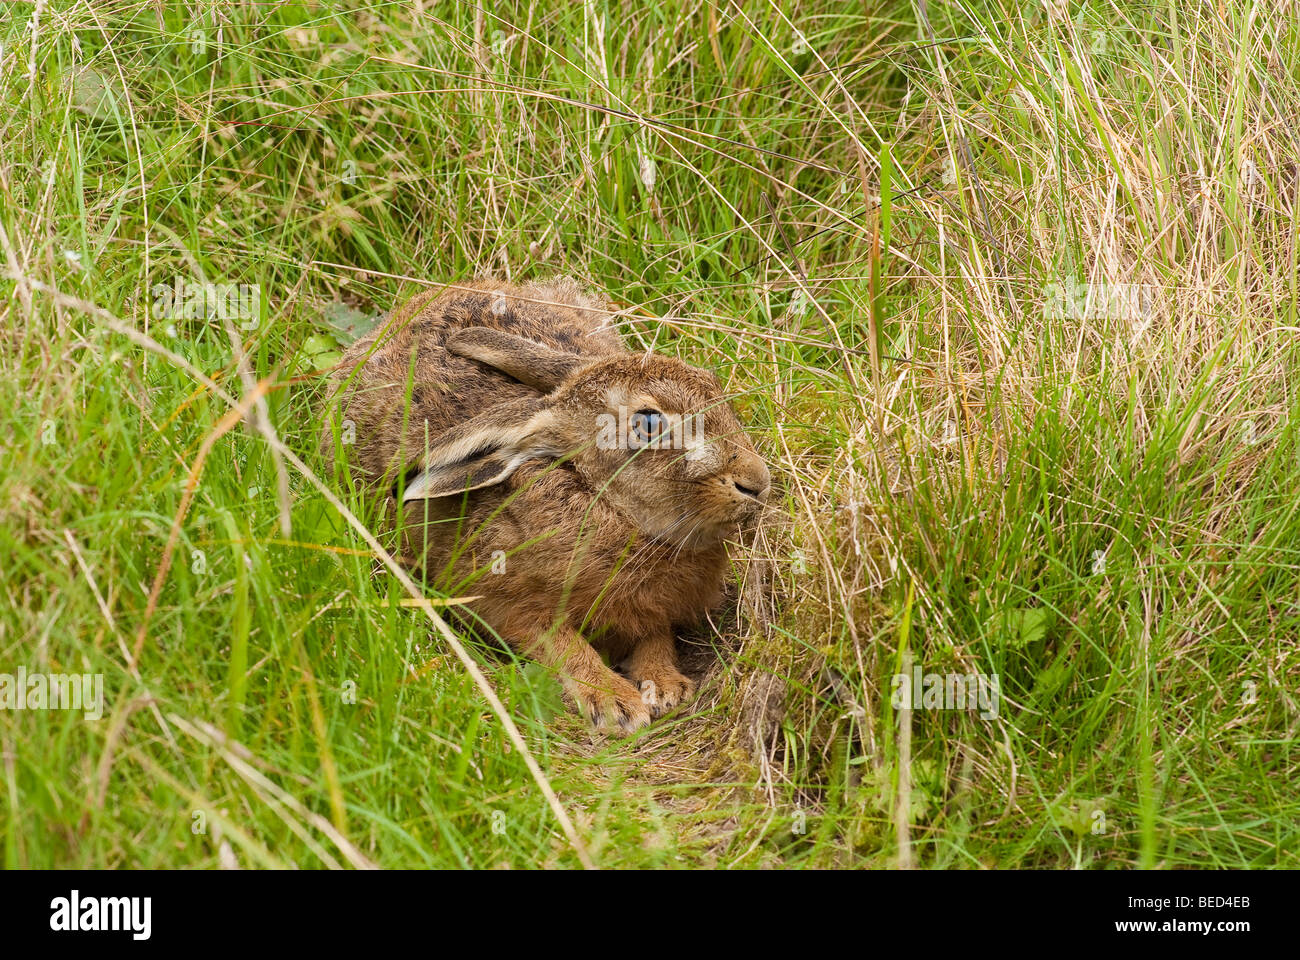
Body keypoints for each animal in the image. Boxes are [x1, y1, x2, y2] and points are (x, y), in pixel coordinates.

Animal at [320, 277, 770, 733]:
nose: (757, 481)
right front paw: (616, 703)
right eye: (647, 423)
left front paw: (664, 685)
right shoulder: (501, 600)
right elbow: (561, 643)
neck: (600, 499)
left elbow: (655, 634)